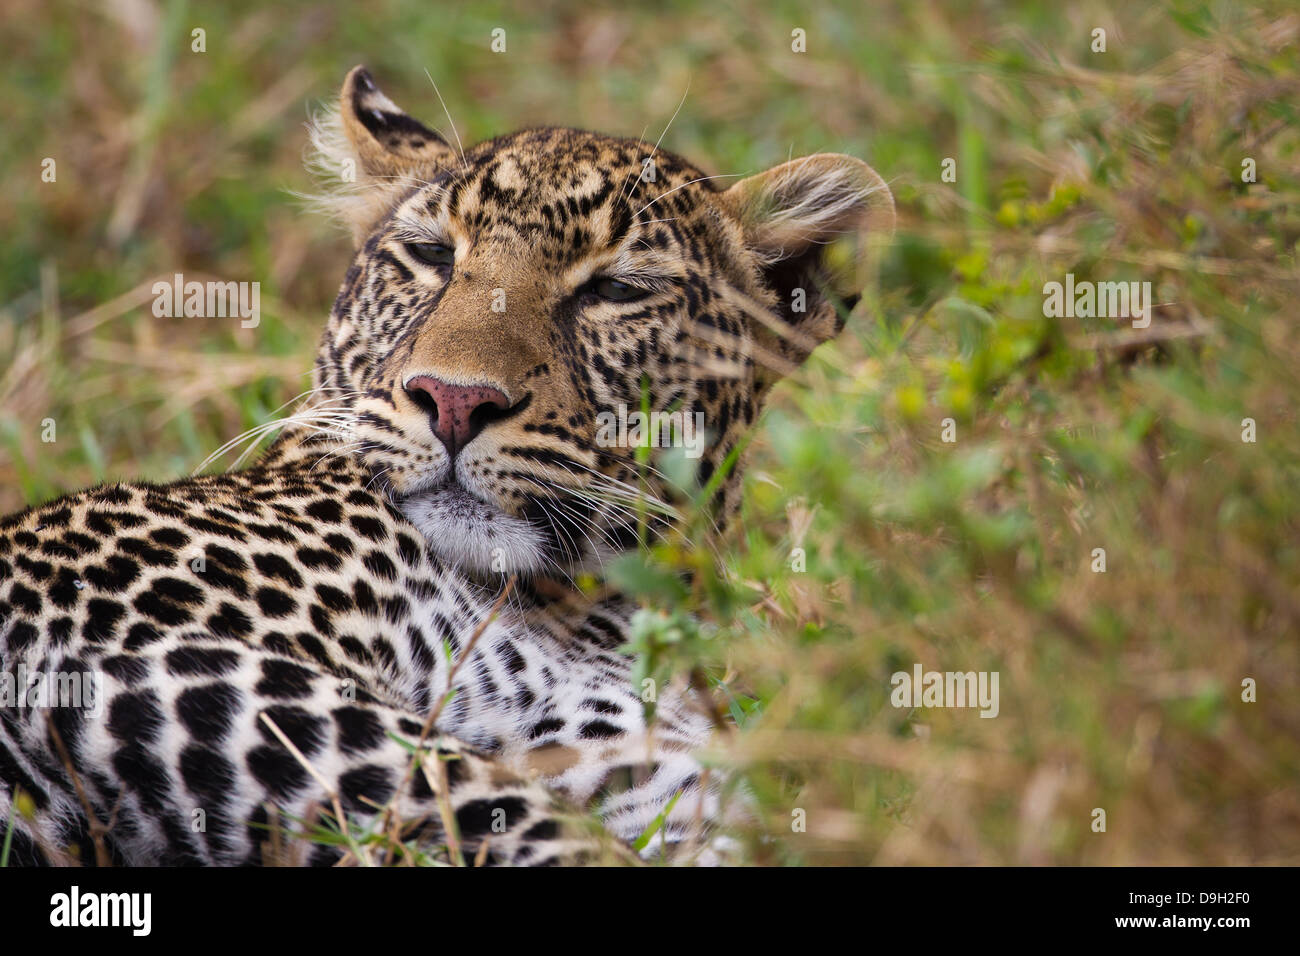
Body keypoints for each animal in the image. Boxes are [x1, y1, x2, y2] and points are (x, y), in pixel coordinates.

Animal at [0, 65, 893, 866]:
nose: (455, 400)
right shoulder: (134, 658)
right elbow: (498, 806)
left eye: (616, 289)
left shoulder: (648, 779)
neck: (575, 611)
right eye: (429, 254)